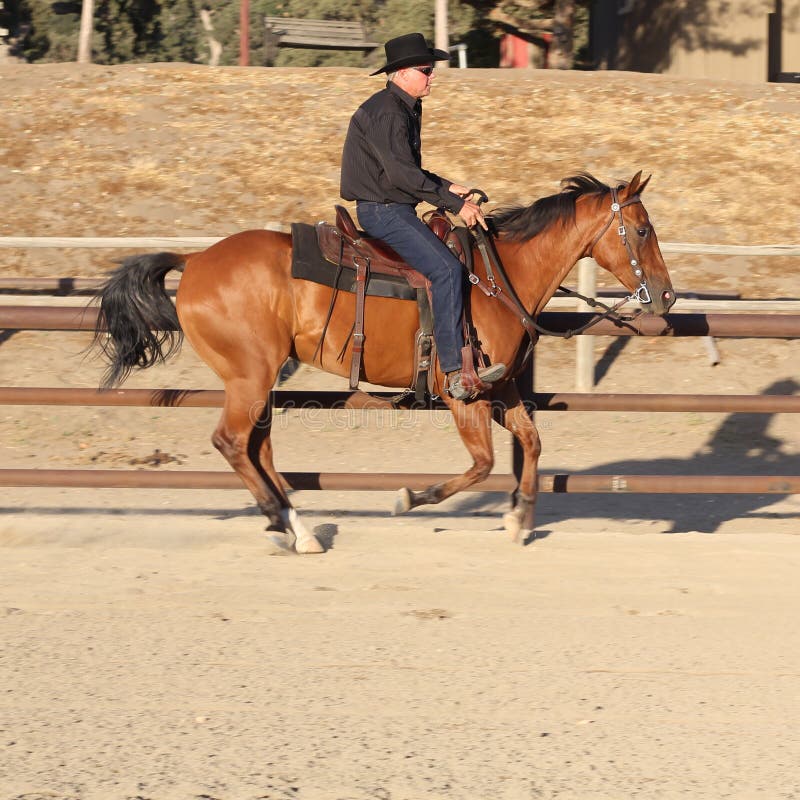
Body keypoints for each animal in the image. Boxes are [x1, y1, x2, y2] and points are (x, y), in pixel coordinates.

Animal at [94, 172, 675, 552]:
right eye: (643, 230)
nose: (666, 296)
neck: (497, 279)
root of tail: (194, 260)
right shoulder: (463, 395)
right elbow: (482, 464)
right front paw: (409, 498)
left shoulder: (500, 389)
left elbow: (530, 443)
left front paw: (518, 520)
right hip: (249, 376)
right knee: (233, 442)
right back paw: (289, 527)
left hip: (255, 383)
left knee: (257, 447)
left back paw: (295, 527)